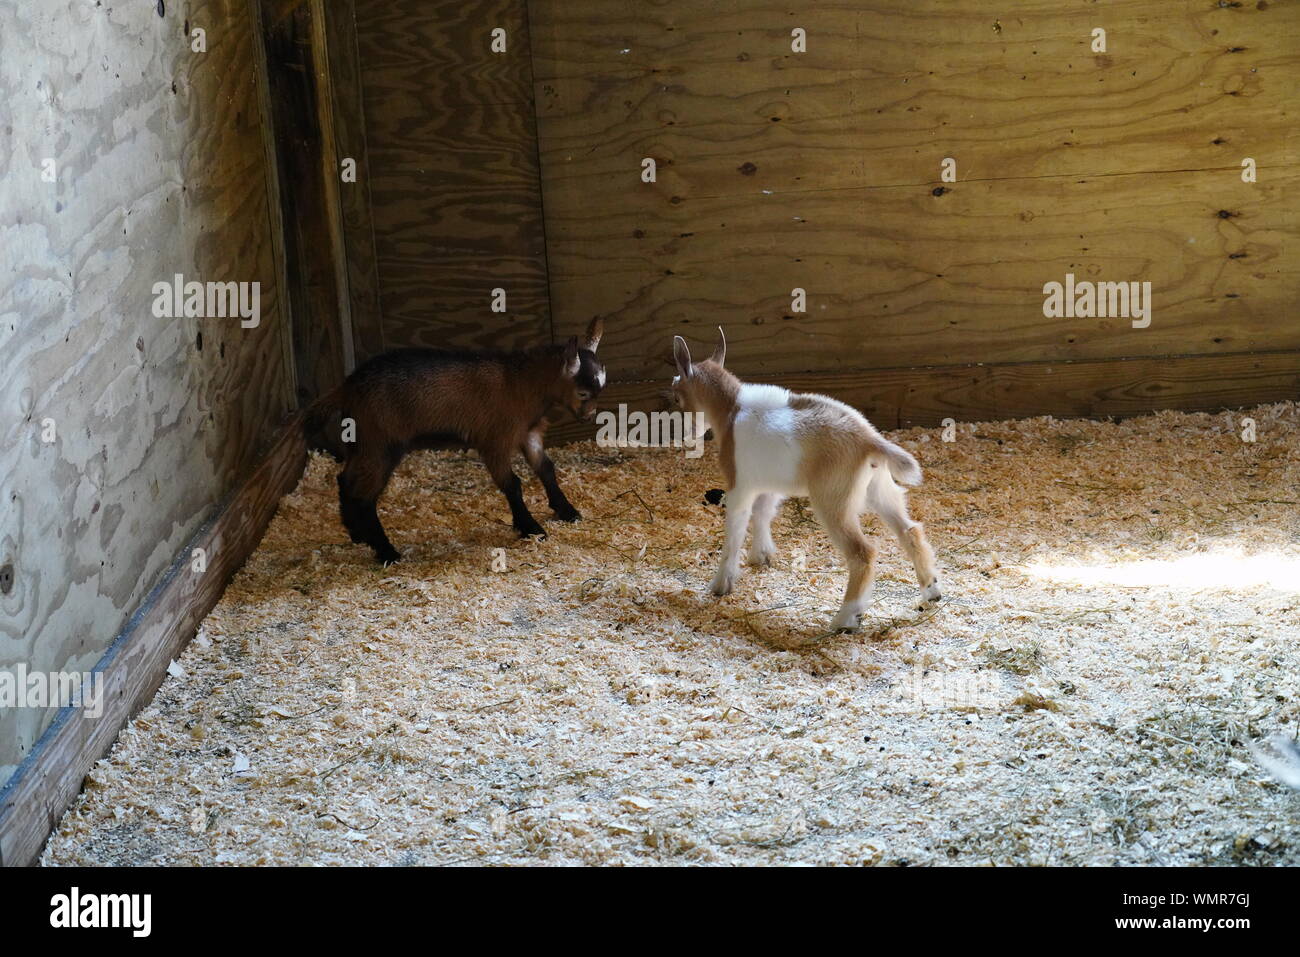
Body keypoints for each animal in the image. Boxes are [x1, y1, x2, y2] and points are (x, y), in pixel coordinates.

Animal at [309, 318, 606, 564]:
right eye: (582, 392)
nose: (589, 417)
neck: (520, 382)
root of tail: (347, 387)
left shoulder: (528, 432)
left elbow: (546, 469)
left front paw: (567, 510)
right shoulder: (494, 439)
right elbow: (512, 484)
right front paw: (530, 528)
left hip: (361, 442)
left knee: (345, 479)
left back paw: (356, 531)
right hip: (381, 443)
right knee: (365, 496)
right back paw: (387, 552)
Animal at [669, 328, 942, 631]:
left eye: (677, 397)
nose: (683, 434)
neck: (732, 409)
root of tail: (868, 440)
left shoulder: (739, 484)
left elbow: (735, 531)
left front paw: (720, 585)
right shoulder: (768, 483)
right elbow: (763, 513)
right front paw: (761, 557)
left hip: (833, 500)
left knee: (863, 552)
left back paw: (845, 619)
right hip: (879, 488)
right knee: (910, 530)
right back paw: (931, 591)